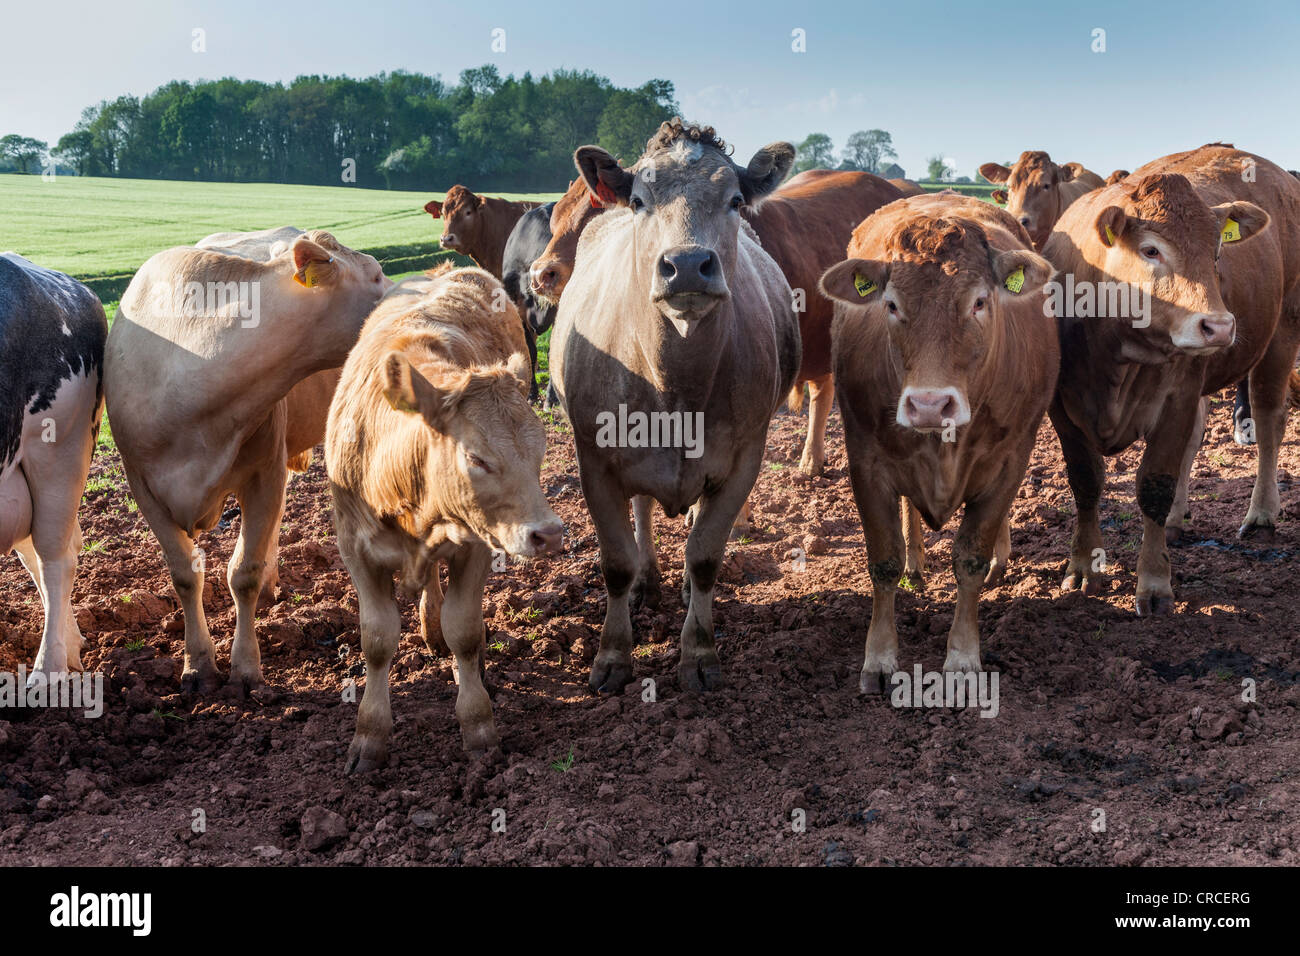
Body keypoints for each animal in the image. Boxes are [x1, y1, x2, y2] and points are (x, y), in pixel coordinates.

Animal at [105, 228, 391, 694]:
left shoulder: (264, 473)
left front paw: (244, 669)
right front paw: (198, 665)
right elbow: (185, 574)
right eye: (378, 274)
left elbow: (244, 572)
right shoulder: (142, 484)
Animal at [325, 265, 563, 767]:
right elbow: (377, 640)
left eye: (540, 451)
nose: (549, 535)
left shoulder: (477, 543)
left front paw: (479, 726)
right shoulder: (355, 549)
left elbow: (465, 632)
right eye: (476, 458)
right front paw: (369, 735)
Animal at [550, 119, 801, 693]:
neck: (676, 386)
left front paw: (698, 652)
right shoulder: (595, 461)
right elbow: (615, 563)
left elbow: (706, 554)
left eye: (735, 200)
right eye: (640, 200)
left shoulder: (743, 459)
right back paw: (649, 581)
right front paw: (613, 656)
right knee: (642, 510)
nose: (686, 264)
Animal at [820, 195, 1058, 690]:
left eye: (980, 302)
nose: (930, 405)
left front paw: (963, 655)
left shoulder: (1010, 461)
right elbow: (883, 560)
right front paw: (879, 656)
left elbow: (970, 559)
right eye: (891, 304)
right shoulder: (866, 462)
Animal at [1044, 144, 1300, 615]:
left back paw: (1260, 515)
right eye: (1150, 250)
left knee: (1270, 420)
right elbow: (1085, 482)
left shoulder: (1175, 398)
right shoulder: (1062, 409)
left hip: (1282, 334)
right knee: (1198, 436)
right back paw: (1180, 520)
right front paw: (1084, 567)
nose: (1218, 326)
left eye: (1217, 251)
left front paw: (1154, 582)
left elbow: (1155, 486)